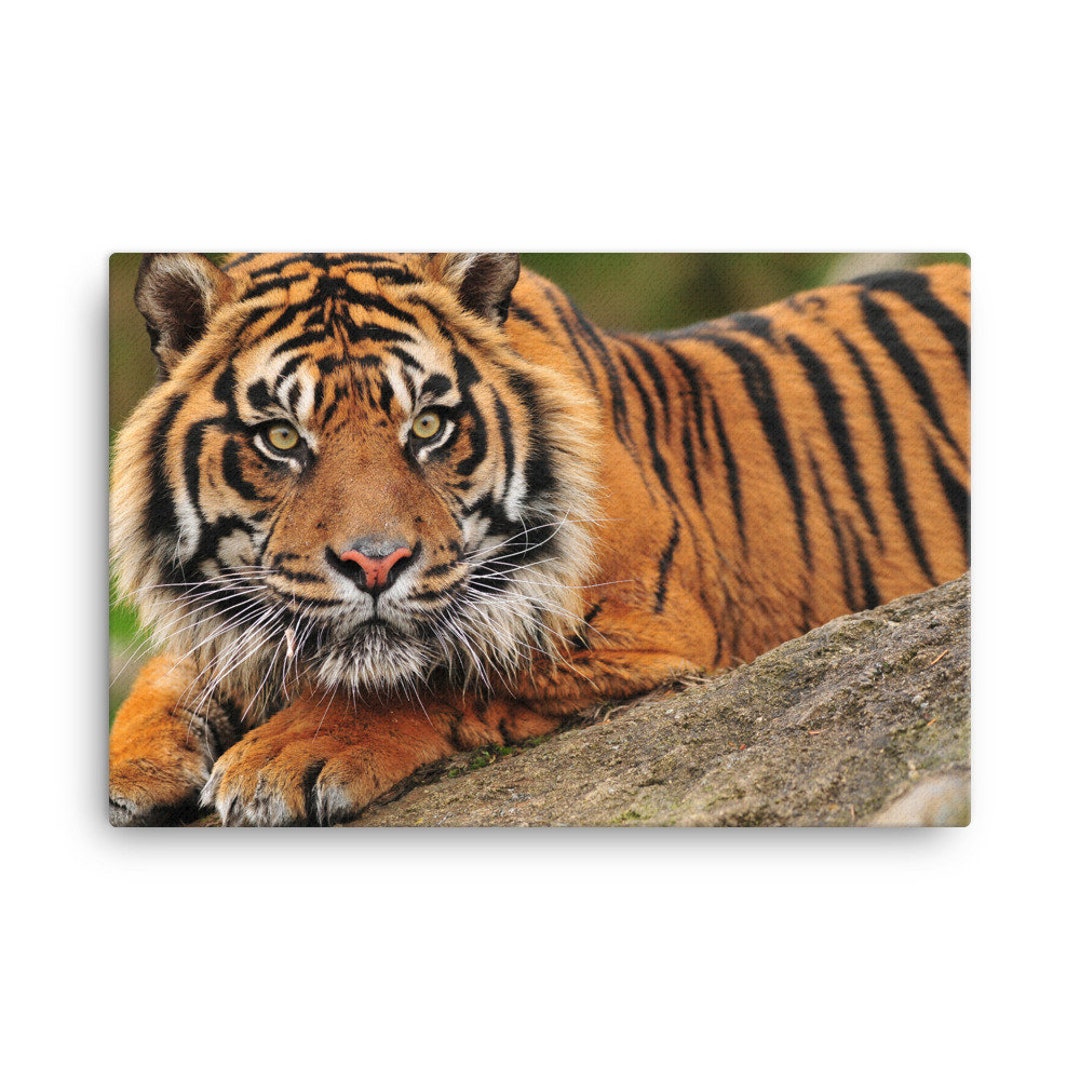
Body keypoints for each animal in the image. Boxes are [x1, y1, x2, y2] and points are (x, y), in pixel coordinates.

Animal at [109, 252, 970, 826]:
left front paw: (279, 759)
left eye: (429, 426)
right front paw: (134, 764)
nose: (374, 565)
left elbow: (437, 675)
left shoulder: (639, 634)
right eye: (283, 438)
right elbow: (175, 671)